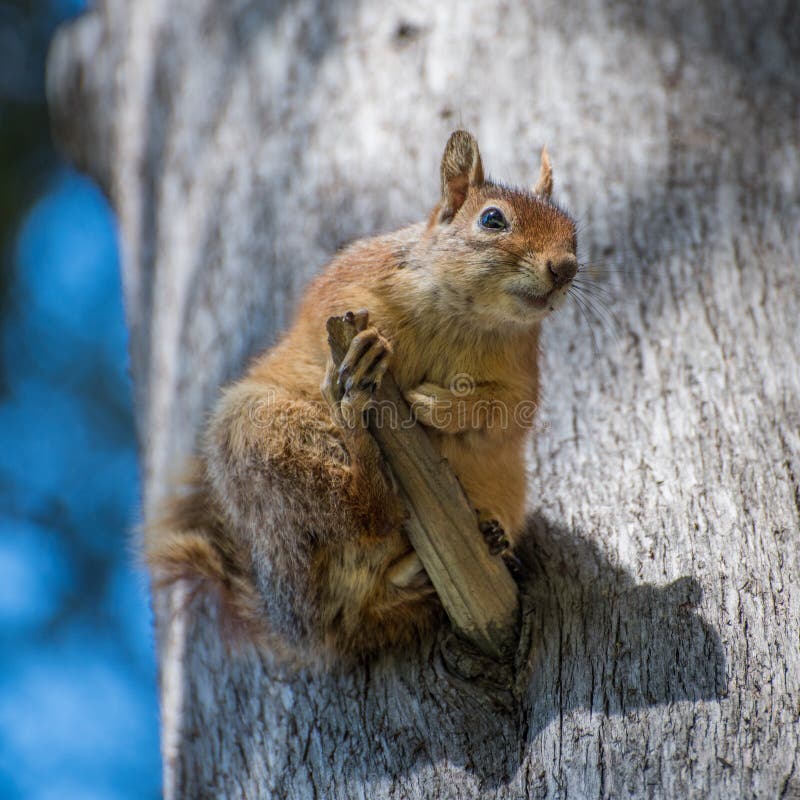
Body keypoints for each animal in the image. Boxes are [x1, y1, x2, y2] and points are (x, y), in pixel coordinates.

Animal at [146, 130, 578, 662]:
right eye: (492, 219)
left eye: (574, 232)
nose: (565, 268)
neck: (467, 319)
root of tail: (312, 625)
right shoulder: (346, 287)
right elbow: (326, 324)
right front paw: (358, 360)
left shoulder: (521, 376)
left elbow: (505, 415)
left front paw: (441, 406)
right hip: (258, 434)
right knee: (364, 512)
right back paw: (351, 413)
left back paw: (480, 543)